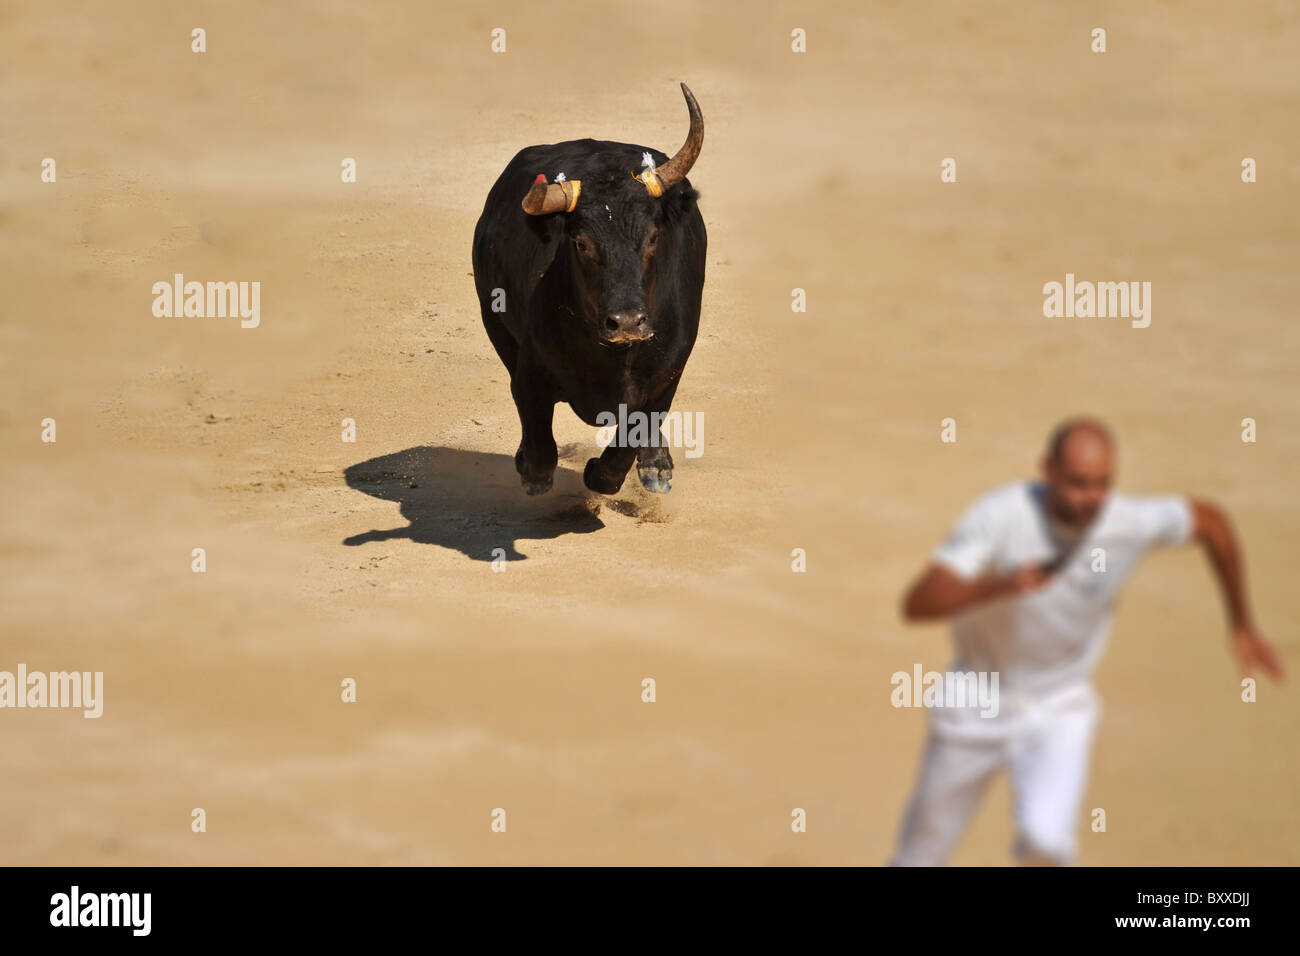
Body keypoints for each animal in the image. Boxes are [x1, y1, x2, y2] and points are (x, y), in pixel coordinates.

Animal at [471, 83, 707, 497]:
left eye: (652, 237)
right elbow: (539, 446)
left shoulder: (666, 376)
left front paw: (608, 472)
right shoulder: (529, 370)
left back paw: (656, 465)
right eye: (580, 243)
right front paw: (531, 471)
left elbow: (630, 441)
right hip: (495, 325)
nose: (627, 322)